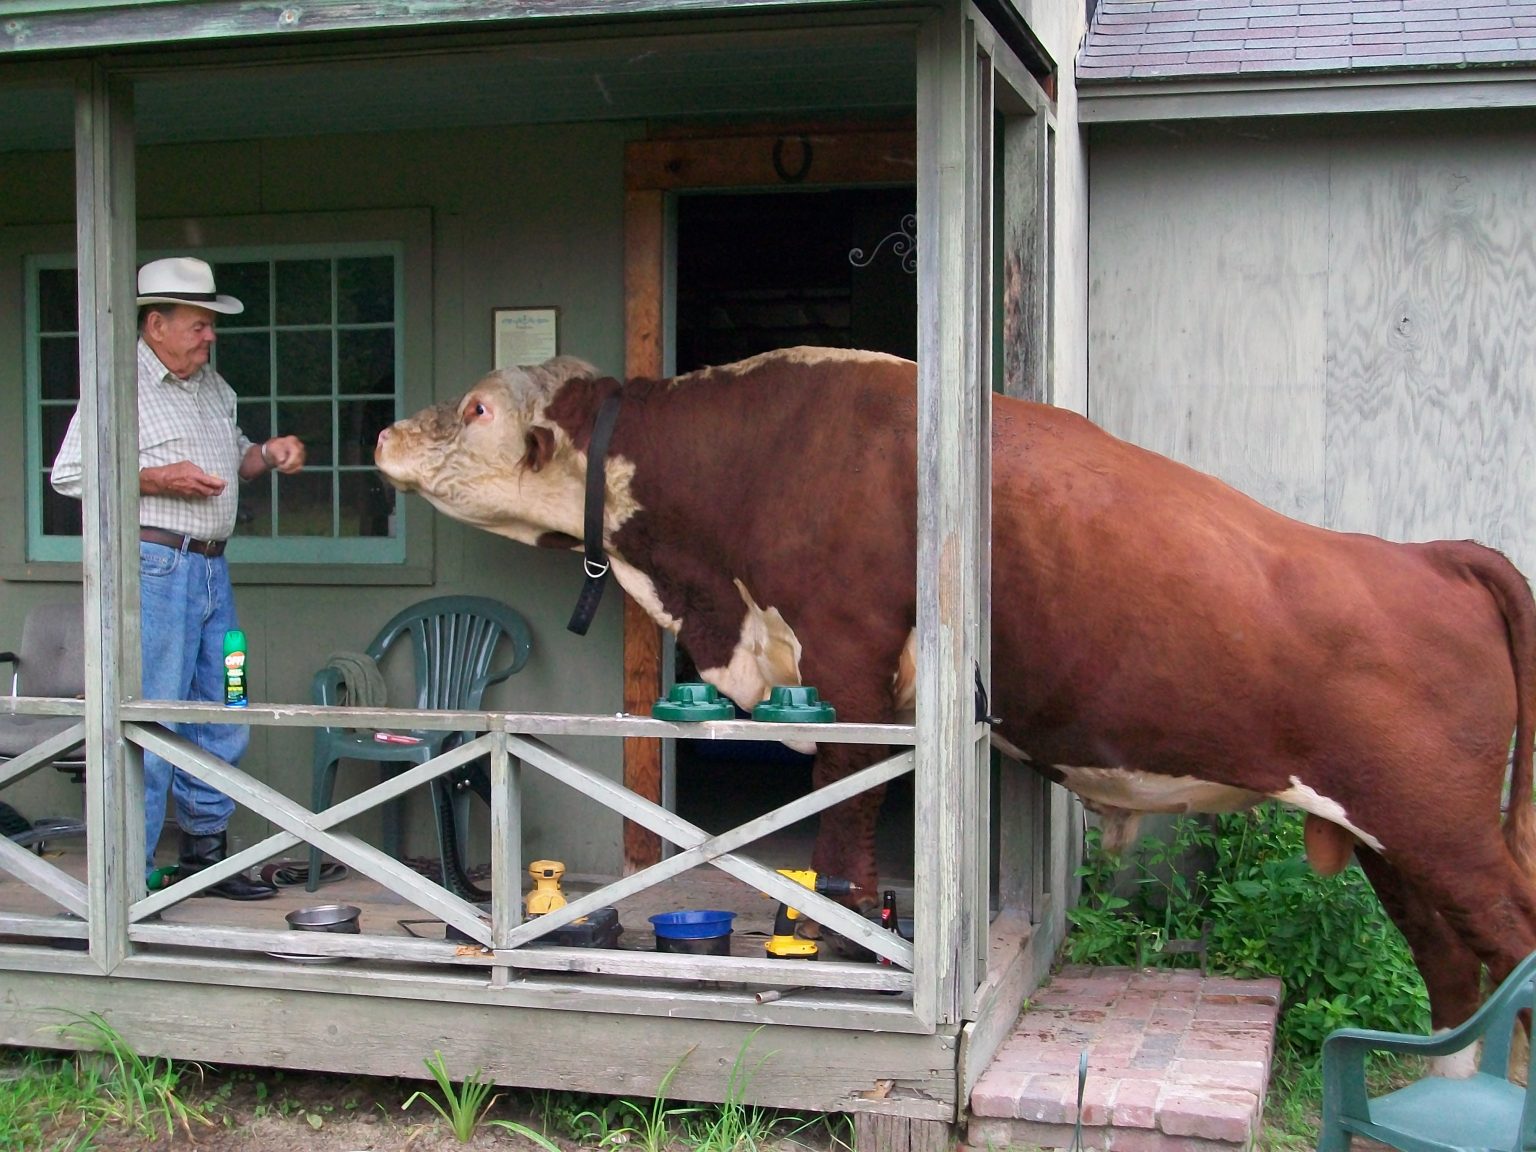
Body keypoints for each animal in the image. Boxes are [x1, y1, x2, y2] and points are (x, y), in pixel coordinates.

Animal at [375, 345, 1536, 1038]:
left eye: (474, 406)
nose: (384, 433)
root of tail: (1434, 554)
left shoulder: (847, 666)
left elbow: (843, 823)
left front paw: (845, 947)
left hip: (1442, 827)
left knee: (1506, 942)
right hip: (1394, 839)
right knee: (1454, 973)